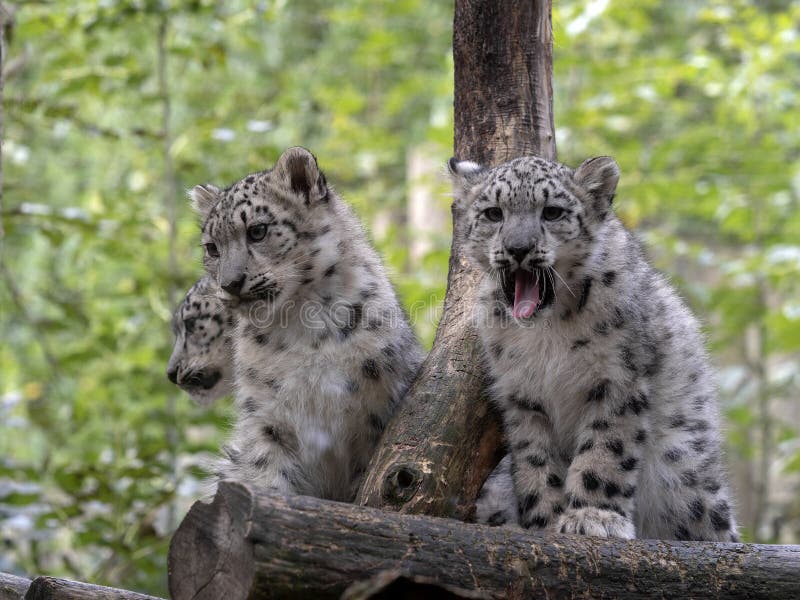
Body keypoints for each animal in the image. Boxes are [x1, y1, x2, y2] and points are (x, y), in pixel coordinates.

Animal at [192, 146, 423, 502]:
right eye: (212, 248)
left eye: (257, 230)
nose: (230, 283)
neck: (301, 327)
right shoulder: (267, 418)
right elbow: (265, 469)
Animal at [451, 154, 738, 541]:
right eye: (494, 213)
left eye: (552, 212)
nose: (518, 248)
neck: (547, 334)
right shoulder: (522, 396)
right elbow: (534, 460)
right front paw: (546, 520)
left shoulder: (617, 380)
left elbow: (605, 449)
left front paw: (594, 517)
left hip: (685, 473)